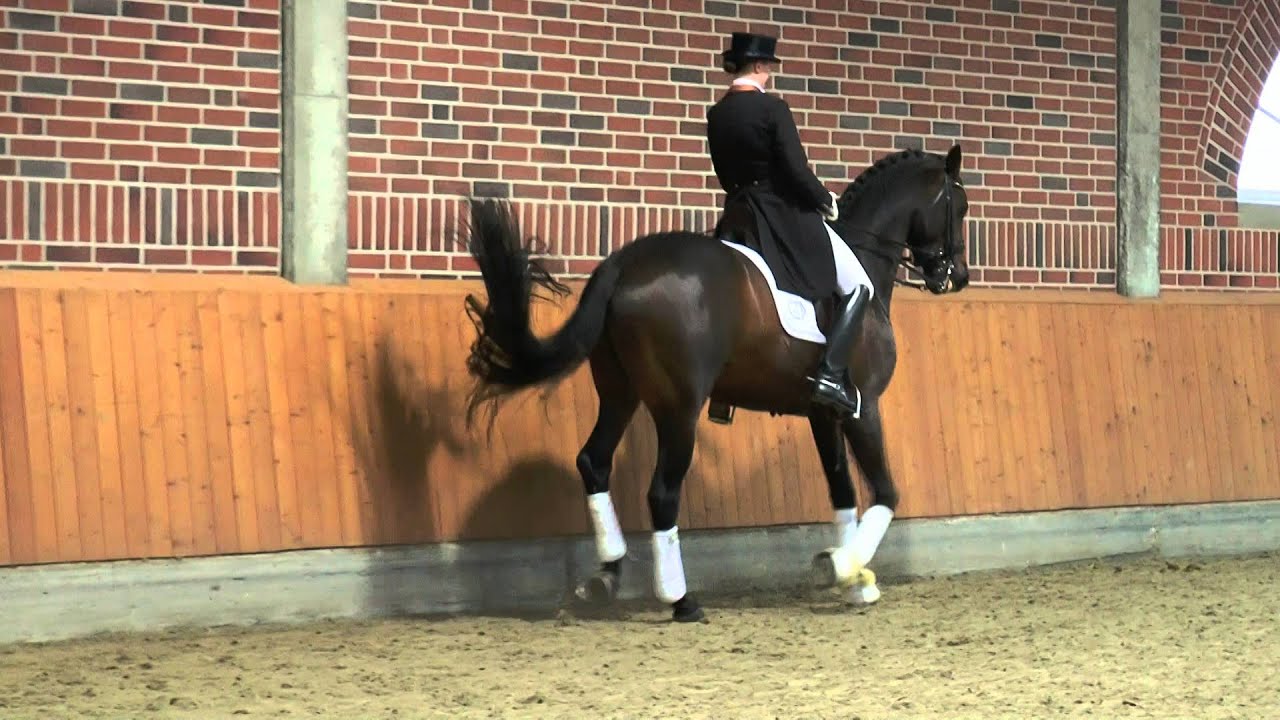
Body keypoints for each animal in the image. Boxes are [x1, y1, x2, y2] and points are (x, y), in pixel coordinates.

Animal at [461, 145, 972, 622]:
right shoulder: (864, 406)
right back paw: (681, 600)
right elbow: (886, 491)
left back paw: (605, 577)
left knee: (594, 462)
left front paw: (854, 580)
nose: (957, 277)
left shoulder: (824, 413)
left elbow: (842, 490)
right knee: (661, 492)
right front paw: (844, 567)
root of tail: (626, 263)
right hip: (679, 406)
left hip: (619, 392)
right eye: (961, 206)